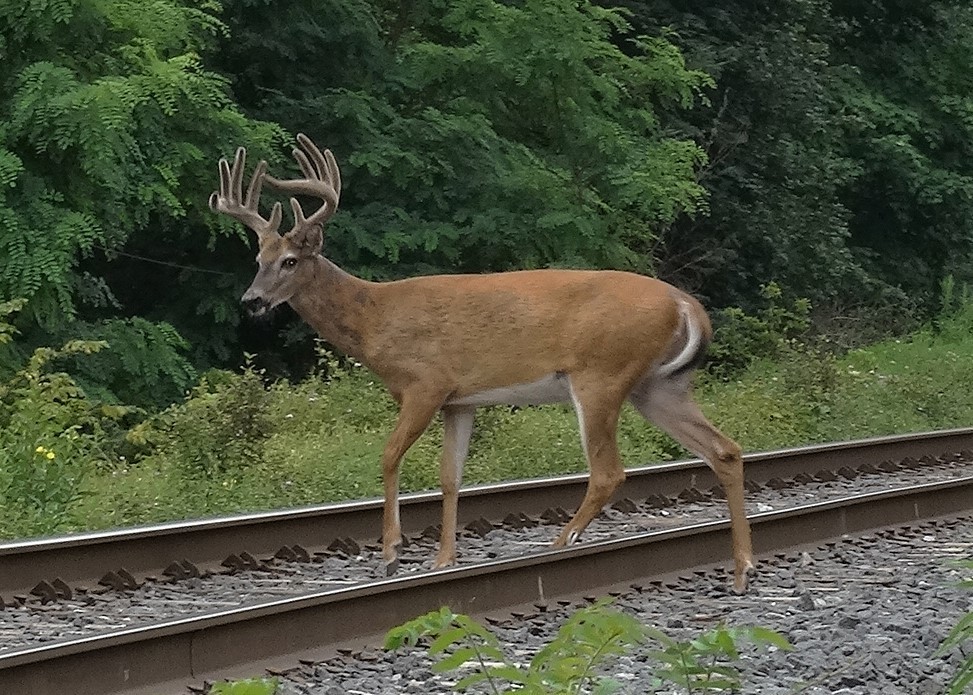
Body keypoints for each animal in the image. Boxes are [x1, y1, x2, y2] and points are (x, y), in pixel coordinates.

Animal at [210, 134, 756, 592]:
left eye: (290, 261)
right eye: (258, 259)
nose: (252, 301)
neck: (375, 318)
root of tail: (687, 305)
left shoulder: (425, 383)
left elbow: (389, 456)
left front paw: (391, 553)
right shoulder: (461, 400)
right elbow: (451, 476)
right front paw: (443, 560)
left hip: (602, 373)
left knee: (609, 471)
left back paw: (560, 543)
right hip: (659, 386)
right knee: (724, 450)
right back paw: (742, 570)